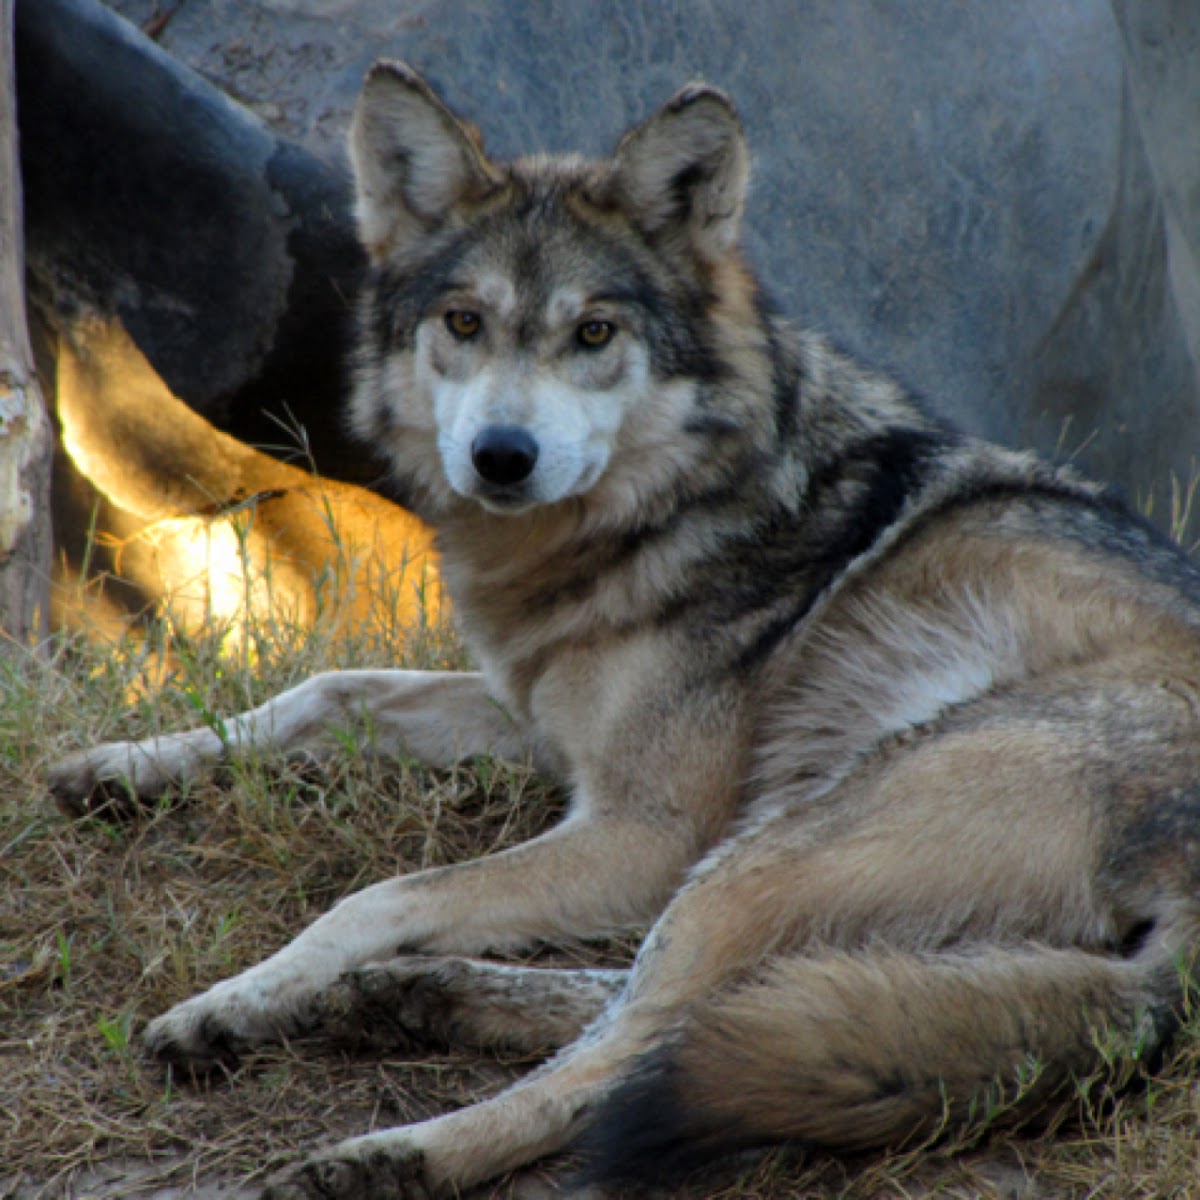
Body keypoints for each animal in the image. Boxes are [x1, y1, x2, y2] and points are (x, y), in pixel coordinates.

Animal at [50, 62, 1200, 1198]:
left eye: (594, 334)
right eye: (463, 323)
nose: (501, 456)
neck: (667, 511)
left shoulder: (645, 829)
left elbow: (378, 893)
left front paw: (229, 1002)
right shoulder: (539, 723)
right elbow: (325, 692)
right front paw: (124, 765)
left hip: (759, 854)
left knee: (631, 1059)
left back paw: (392, 1152)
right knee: (709, 1004)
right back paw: (420, 996)